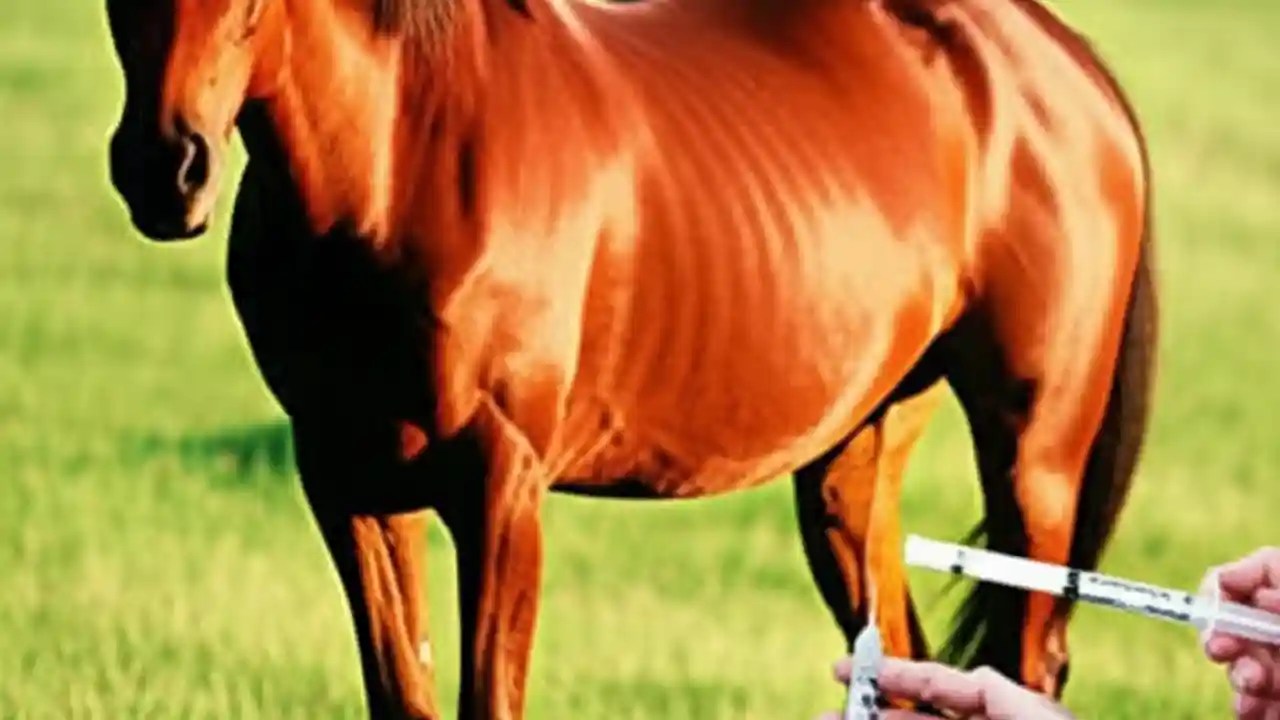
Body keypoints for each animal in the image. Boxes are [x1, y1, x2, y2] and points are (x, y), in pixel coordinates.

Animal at [102, 0, 1157, 717]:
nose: (165, 170)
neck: (403, 149)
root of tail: (1068, 69)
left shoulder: (500, 490)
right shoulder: (350, 481)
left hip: (1035, 463)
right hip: (853, 468)